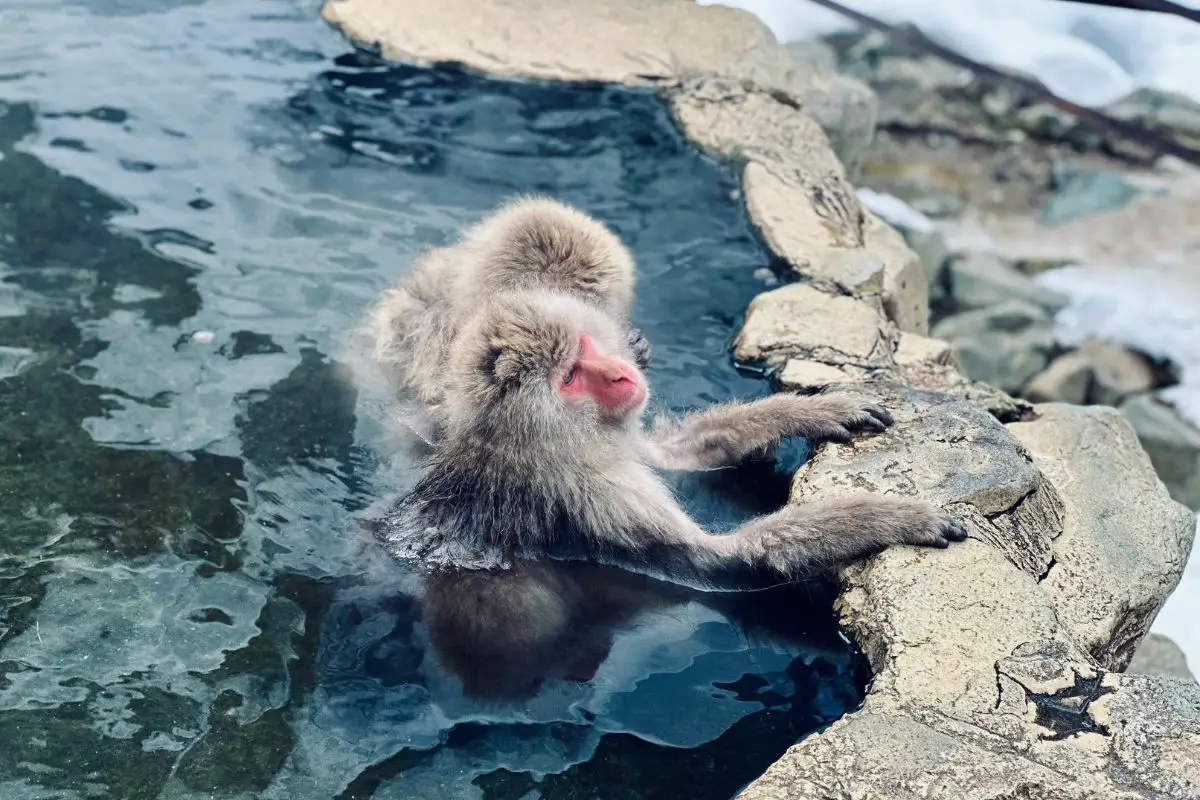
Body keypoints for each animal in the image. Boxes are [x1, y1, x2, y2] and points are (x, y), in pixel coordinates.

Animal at [371, 288, 967, 592]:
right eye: (570, 377)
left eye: (585, 346)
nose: (620, 373)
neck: (543, 444)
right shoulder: (597, 492)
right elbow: (727, 560)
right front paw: (893, 518)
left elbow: (682, 452)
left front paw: (814, 409)